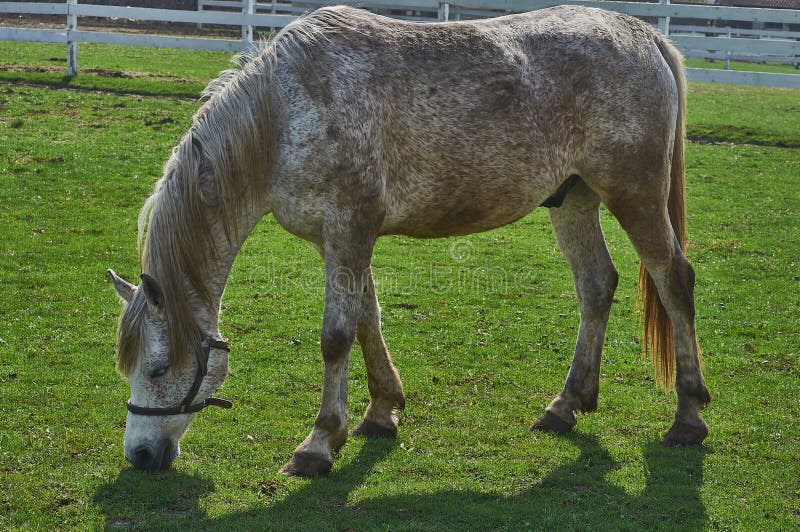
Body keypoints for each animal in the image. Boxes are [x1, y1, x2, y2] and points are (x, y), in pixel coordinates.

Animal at [108, 5, 711, 476]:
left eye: (157, 368)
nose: (140, 455)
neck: (284, 112)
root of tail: (643, 34)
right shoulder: (337, 240)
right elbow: (367, 320)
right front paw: (381, 411)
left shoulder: (349, 228)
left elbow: (336, 336)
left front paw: (318, 444)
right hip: (575, 199)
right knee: (596, 285)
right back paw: (566, 405)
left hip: (634, 195)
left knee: (674, 281)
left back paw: (688, 415)